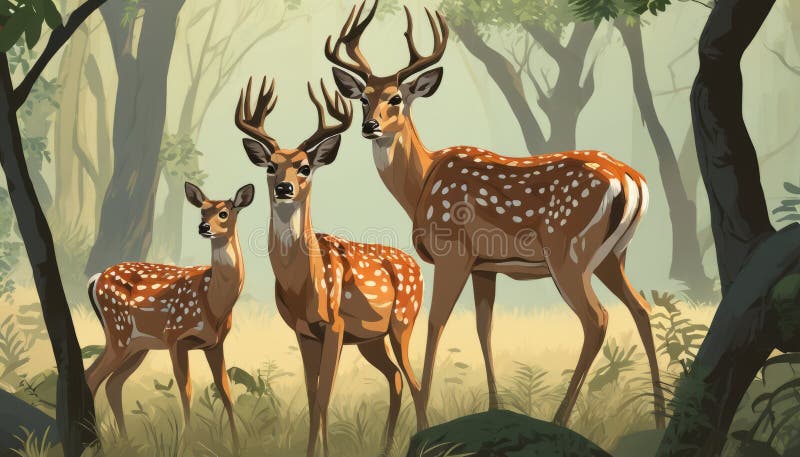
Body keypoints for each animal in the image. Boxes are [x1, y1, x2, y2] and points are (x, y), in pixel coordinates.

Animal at [84, 182, 254, 449]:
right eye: (202, 211)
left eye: (224, 213)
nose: (203, 227)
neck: (213, 302)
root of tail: (96, 279)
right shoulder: (176, 337)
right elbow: (186, 390)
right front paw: (187, 445)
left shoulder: (215, 344)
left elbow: (226, 391)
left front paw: (236, 445)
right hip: (118, 333)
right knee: (92, 378)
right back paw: (98, 444)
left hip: (138, 346)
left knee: (113, 383)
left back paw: (124, 442)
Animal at [235, 76, 426, 457]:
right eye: (270, 166)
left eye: (305, 167)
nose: (284, 187)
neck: (300, 284)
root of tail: (417, 267)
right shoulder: (303, 331)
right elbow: (313, 398)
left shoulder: (334, 324)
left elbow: (325, 396)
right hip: (370, 339)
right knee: (395, 378)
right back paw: (385, 448)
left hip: (403, 322)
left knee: (414, 382)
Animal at [325, 0, 666, 429]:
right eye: (363, 98)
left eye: (396, 98)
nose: (369, 126)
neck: (421, 185)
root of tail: (632, 179)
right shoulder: (484, 265)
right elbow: (483, 328)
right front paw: (493, 407)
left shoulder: (452, 251)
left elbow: (436, 323)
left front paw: (423, 417)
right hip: (614, 255)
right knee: (640, 308)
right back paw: (660, 418)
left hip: (568, 251)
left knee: (597, 318)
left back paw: (560, 418)